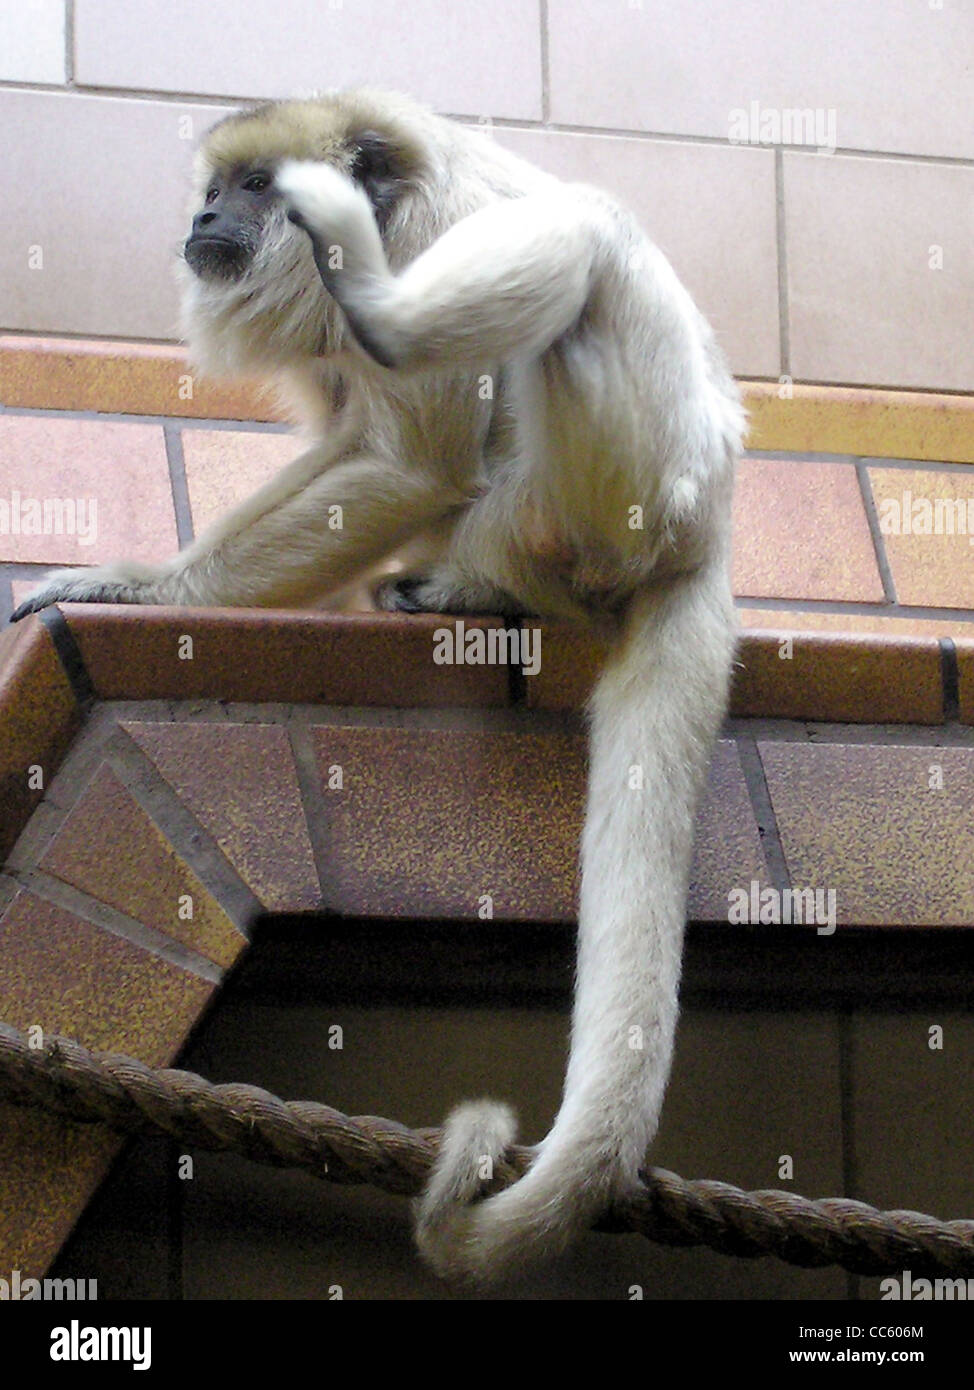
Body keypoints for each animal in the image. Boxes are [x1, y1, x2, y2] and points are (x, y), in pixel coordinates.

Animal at [12, 88, 744, 1284]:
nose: (208, 213)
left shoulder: (423, 231)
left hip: (614, 485)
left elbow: (407, 463)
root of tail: (708, 530)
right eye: (216, 187)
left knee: (588, 235)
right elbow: (359, 444)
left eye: (254, 187)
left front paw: (144, 586)